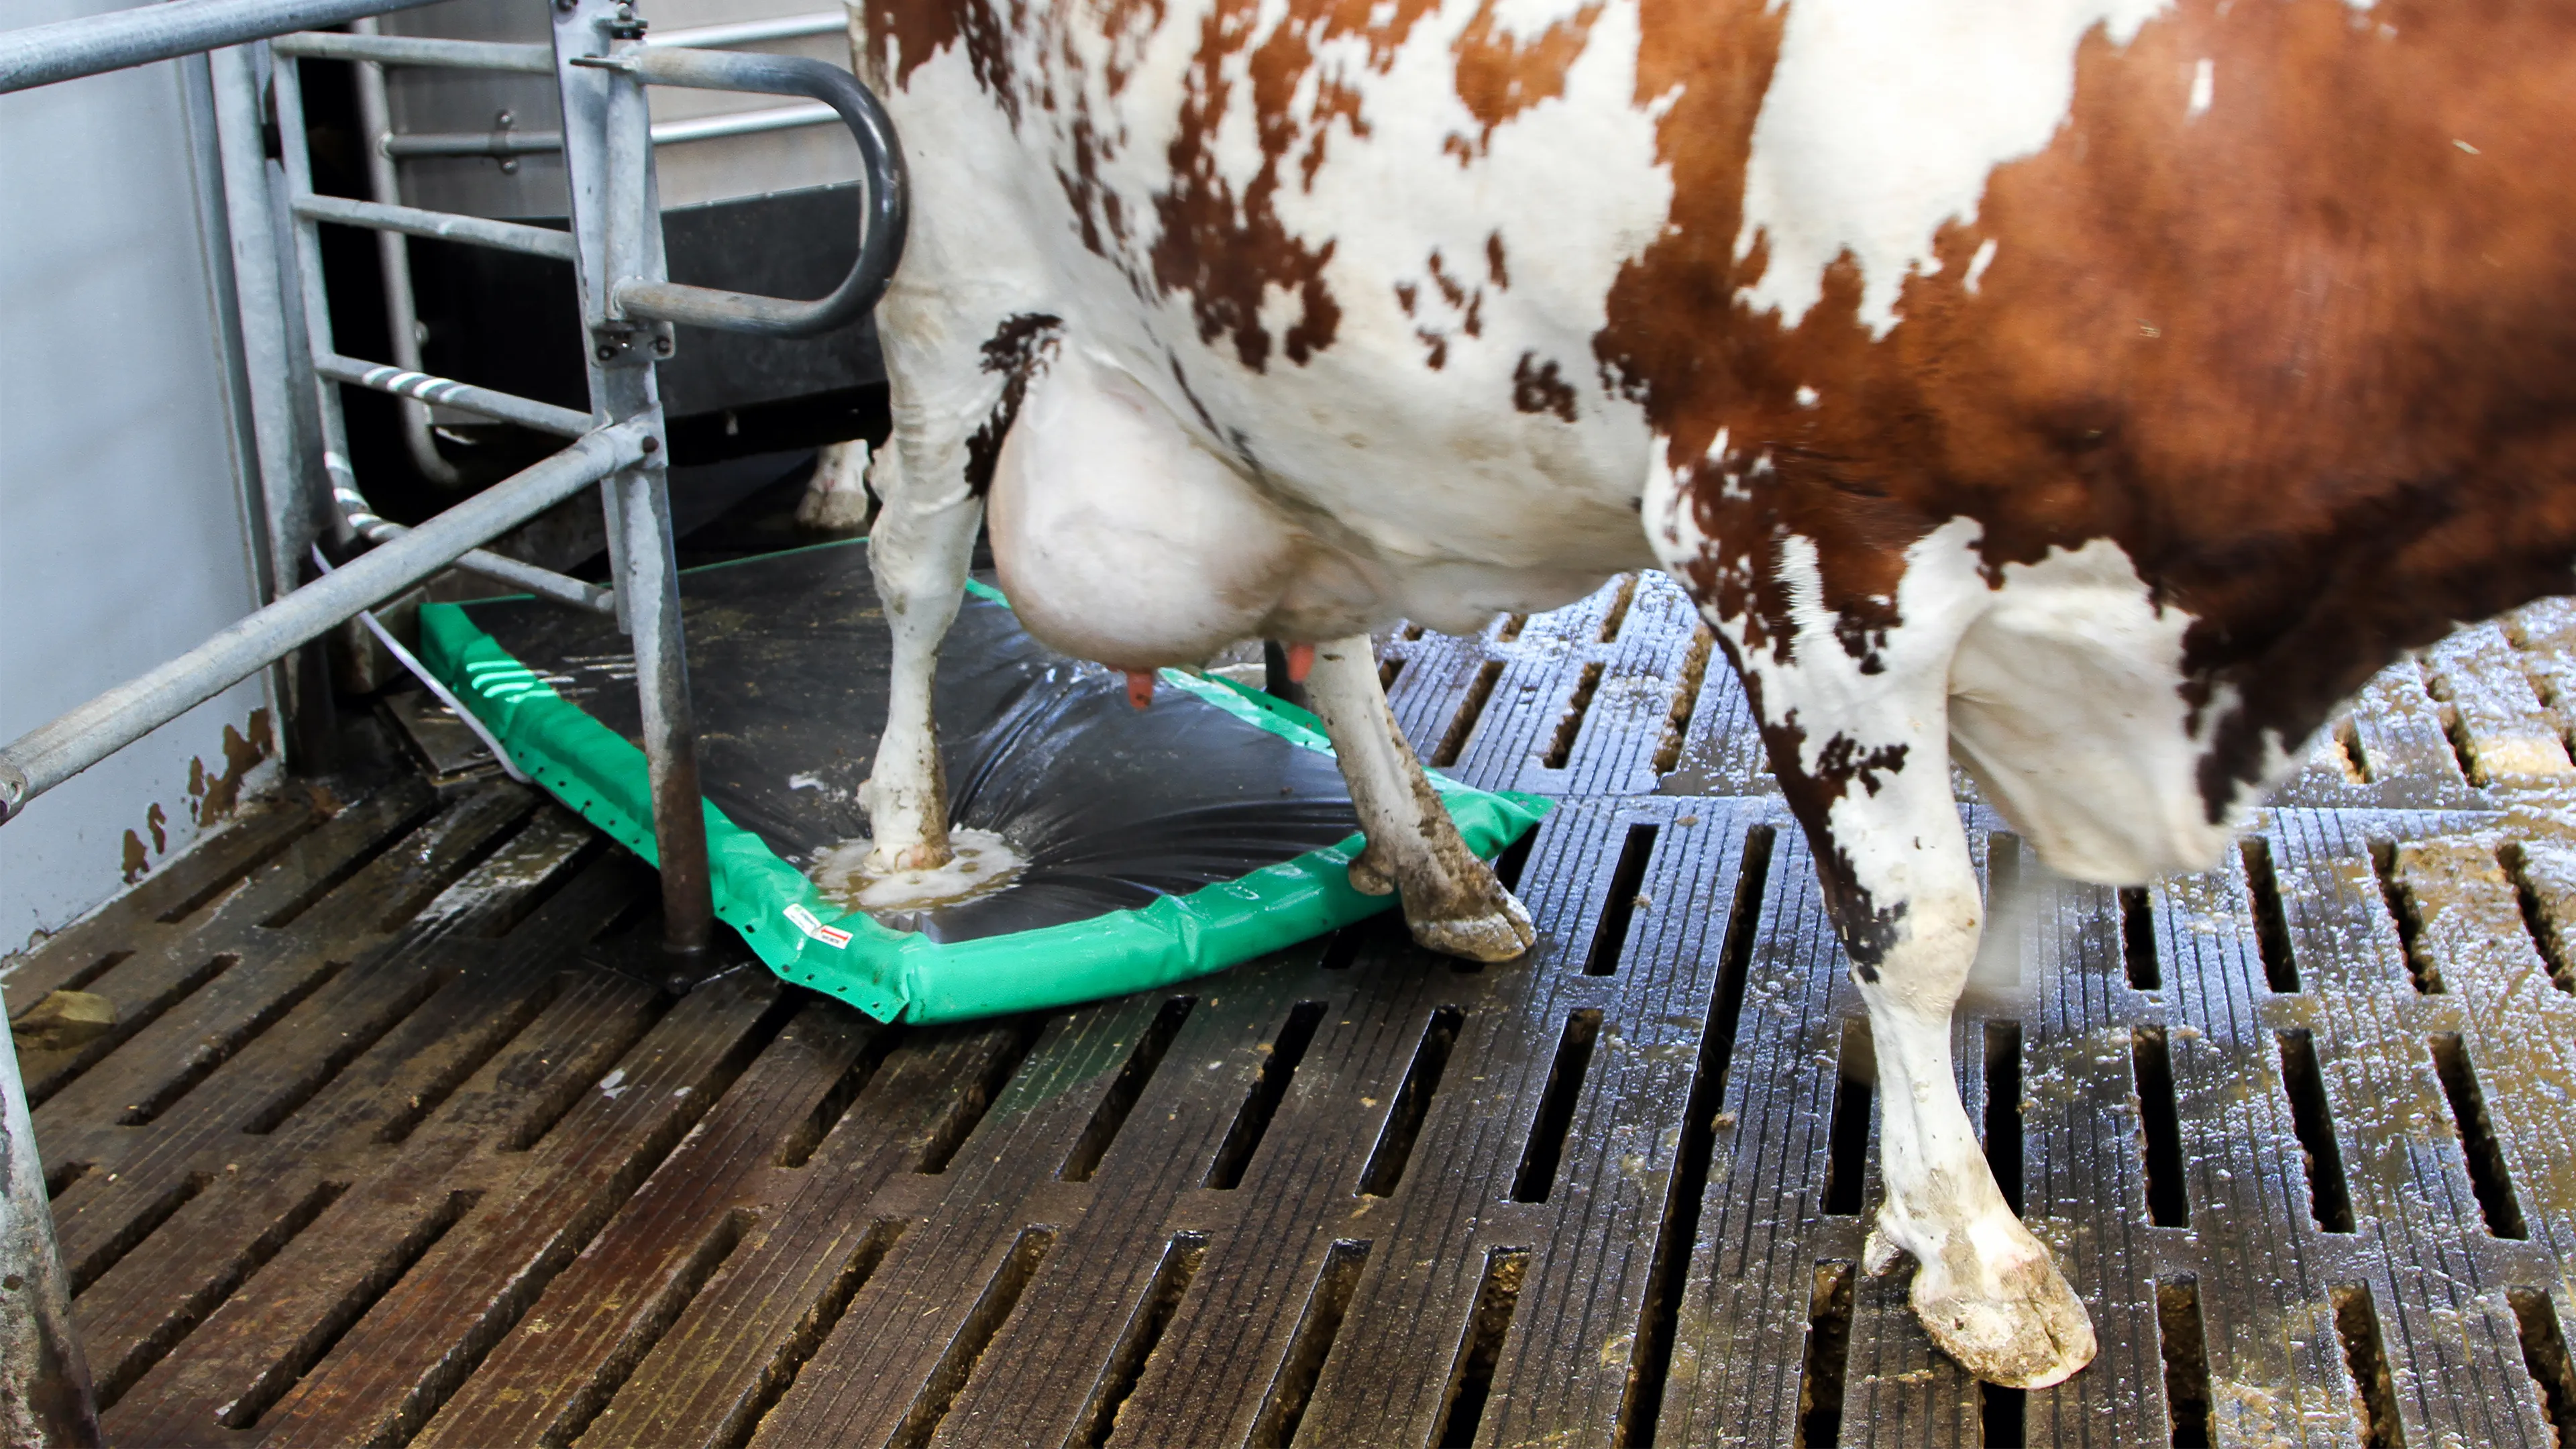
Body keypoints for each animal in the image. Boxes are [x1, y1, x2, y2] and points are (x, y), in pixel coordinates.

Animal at [831, 0, 2576, 1389]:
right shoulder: (1805, 538)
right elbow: (1916, 923)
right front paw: (1973, 1248)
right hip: (943, 278)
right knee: (913, 565)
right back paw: (909, 849)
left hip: (1302, 396)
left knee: (1330, 626)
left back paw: (1432, 867)